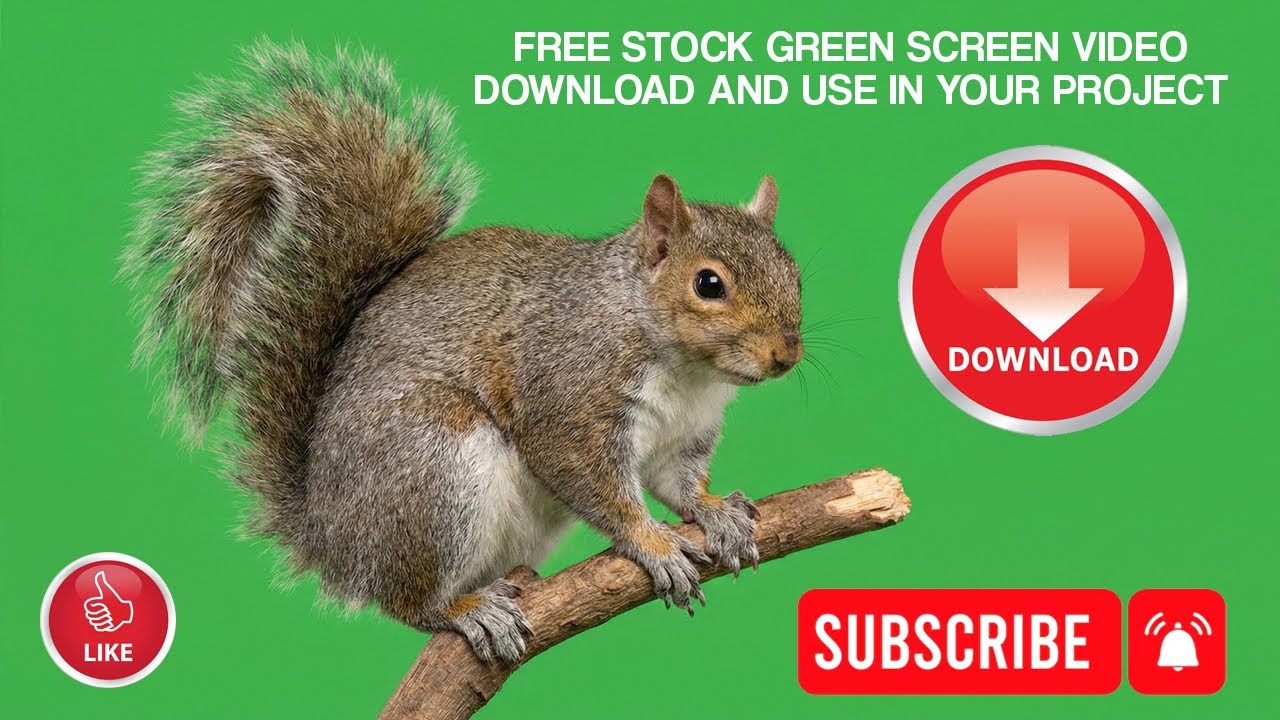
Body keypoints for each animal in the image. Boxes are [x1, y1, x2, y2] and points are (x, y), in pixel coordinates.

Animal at [126, 41, 803, 663]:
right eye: (708, 284)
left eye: (794, 271)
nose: (786, 357)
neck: (687, 371)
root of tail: (329, 537)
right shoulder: (570, 396)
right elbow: (595, 483)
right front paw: (656, 546)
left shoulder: (683, 433)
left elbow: (677, 482)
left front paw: (715, 513)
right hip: (434, 466)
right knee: (405, 601)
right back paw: (466, 610)